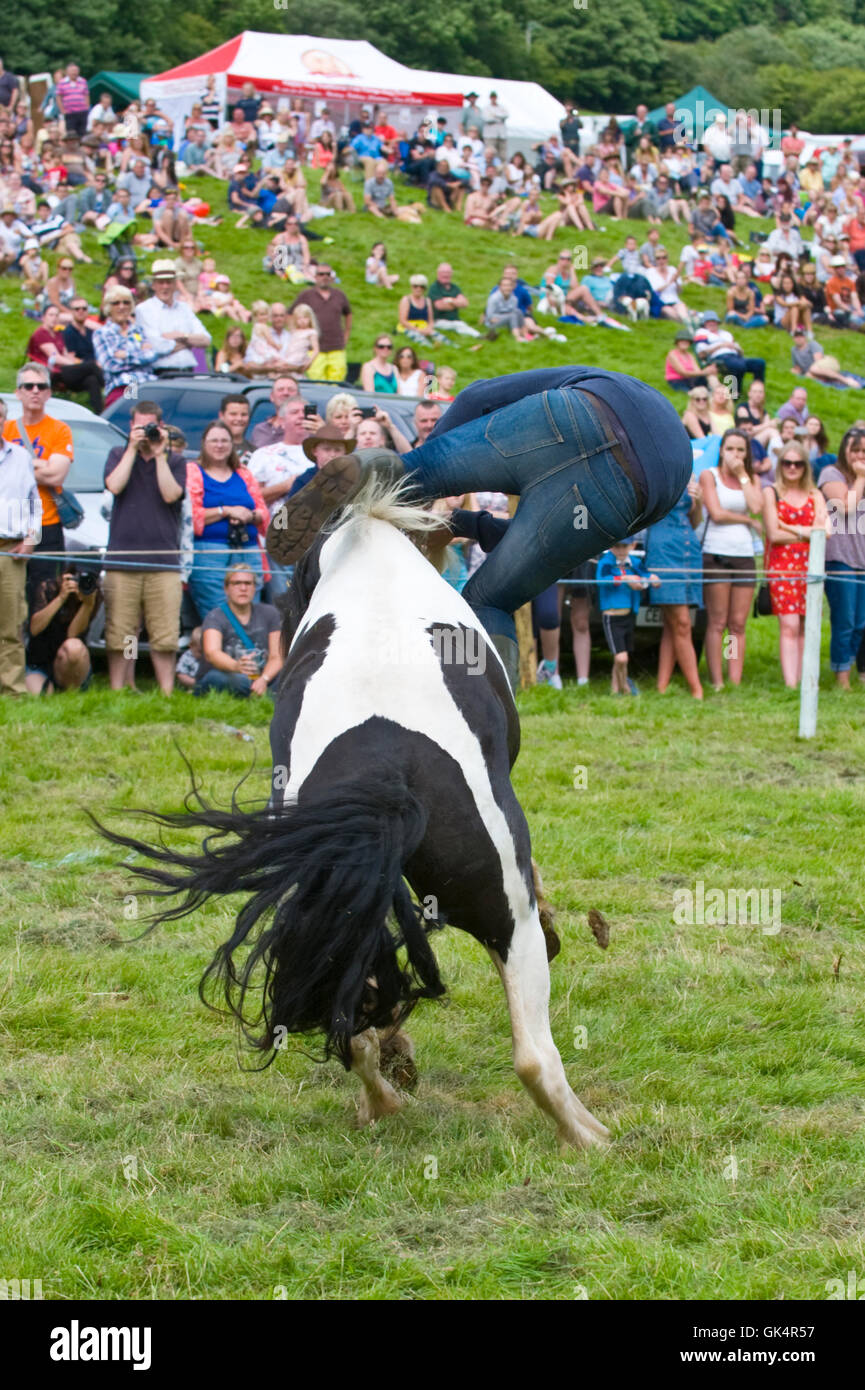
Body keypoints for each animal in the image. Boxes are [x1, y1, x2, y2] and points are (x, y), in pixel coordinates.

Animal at [98, 477, 609, 1150]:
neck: (369, 545)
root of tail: (383, 772)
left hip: (331, 914)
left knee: (352, 1026)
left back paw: (384, 1099)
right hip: (500, 908)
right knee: (532, 1048)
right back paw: (592, 1135)